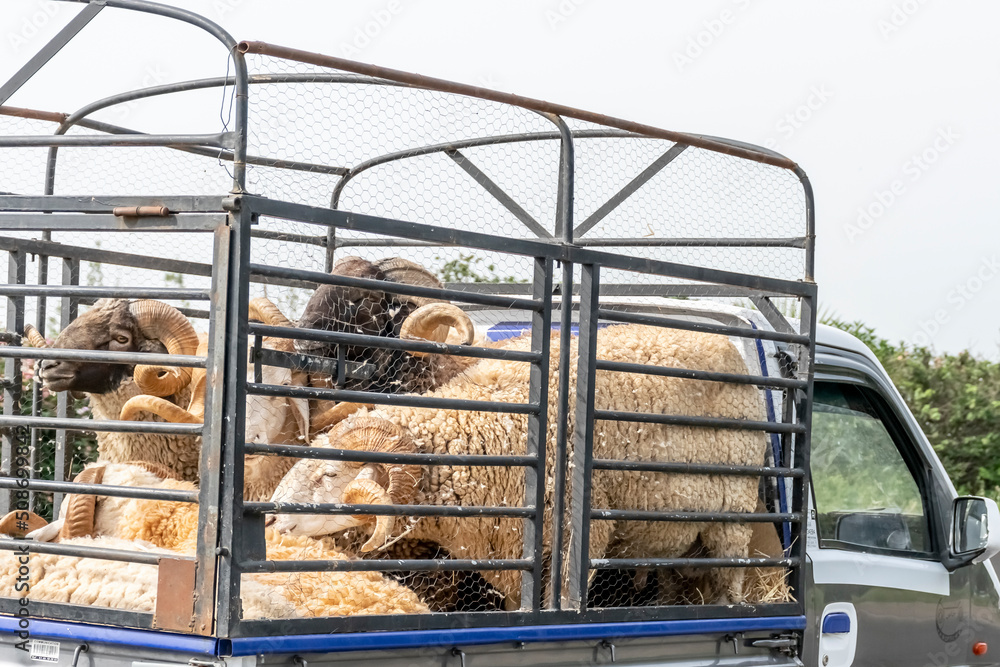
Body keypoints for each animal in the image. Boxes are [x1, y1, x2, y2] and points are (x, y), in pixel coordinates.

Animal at [268, 324, 768, 610]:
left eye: (330, 475)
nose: (269, 518)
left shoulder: (576, 542)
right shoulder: (512, 554)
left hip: (733, 519)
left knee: (730, 581)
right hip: (679, 535)